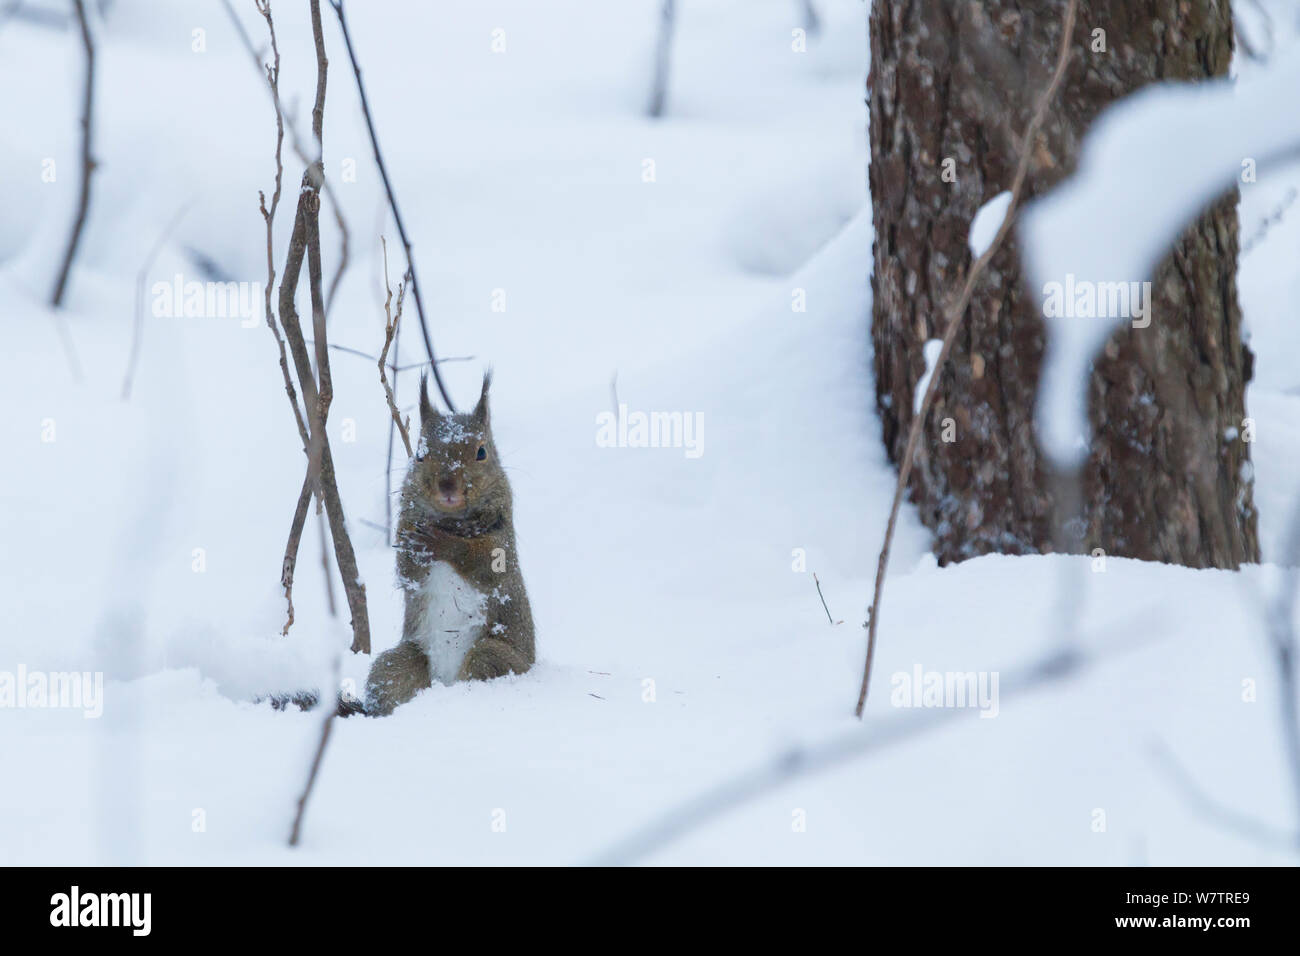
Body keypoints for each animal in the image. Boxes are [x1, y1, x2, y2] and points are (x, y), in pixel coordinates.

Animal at [363, 372, 535, 716]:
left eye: (481, 452)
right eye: (419, 453)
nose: (447, 486)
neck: (450, 520)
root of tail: (444, 683)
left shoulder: (502, 538)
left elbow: (486, 564)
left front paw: (442, 544)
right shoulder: (404, 530)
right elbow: (407, 572)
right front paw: (420, 550)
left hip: (491, 656)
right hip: (395, 666)